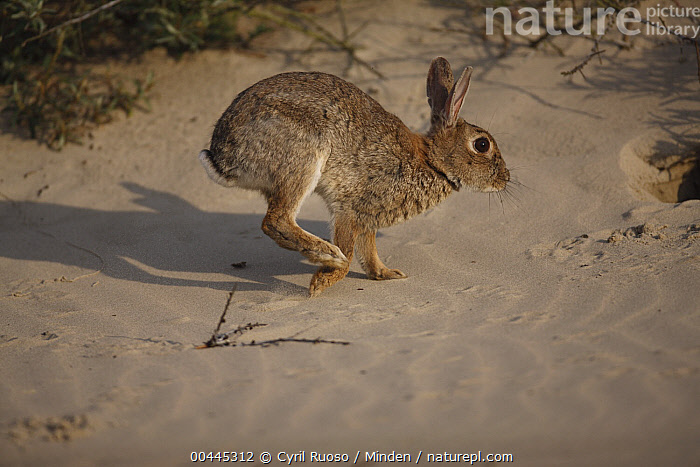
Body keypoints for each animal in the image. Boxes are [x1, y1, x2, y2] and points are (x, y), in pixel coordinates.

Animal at [199, 57, 509, 297]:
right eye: (482, 145)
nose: (505, 178)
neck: (432, 162)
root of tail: (222, 156)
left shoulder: (368, 216)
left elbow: (369, 250)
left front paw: (386, 273)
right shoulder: (350, 208)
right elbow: (350, 250)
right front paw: (322, 282)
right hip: (304, 156)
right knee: (276, 221)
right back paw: (328, 255)